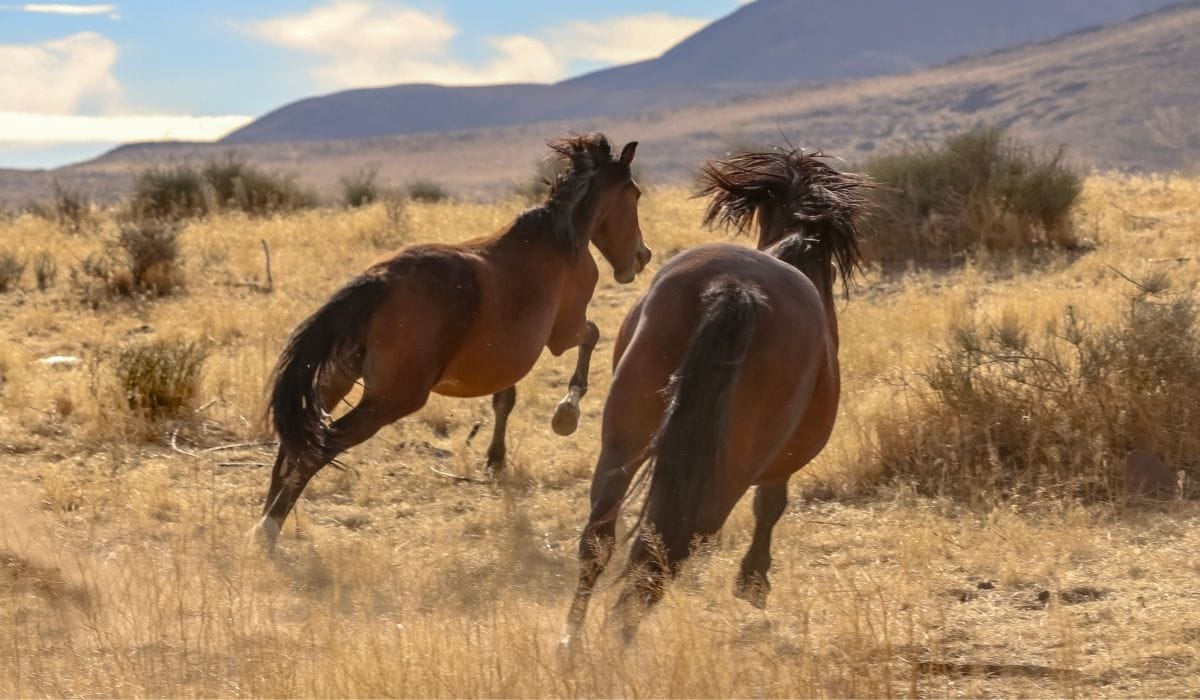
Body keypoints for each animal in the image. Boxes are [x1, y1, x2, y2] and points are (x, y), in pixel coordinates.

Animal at [255, 133, 651, 551]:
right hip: (391, 399)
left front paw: (496, 460)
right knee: (320, 448)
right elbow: (592, 335)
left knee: (294, 443)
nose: (643, 256)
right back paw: (267, 530)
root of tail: (380, 281)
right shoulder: (564, 332)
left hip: (338, 378)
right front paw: (566, 413)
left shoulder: (506, 359)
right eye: (636, 193)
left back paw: (266, 520)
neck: (560, 239)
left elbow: (505, 399)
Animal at [563, 148, 870, 644]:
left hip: (623, 438)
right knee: (663, 556)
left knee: (600, 537)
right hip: (729, 471)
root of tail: (734, 290)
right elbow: (772, 504)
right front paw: (754, 580)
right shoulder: (778, 464)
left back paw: (570, 643)